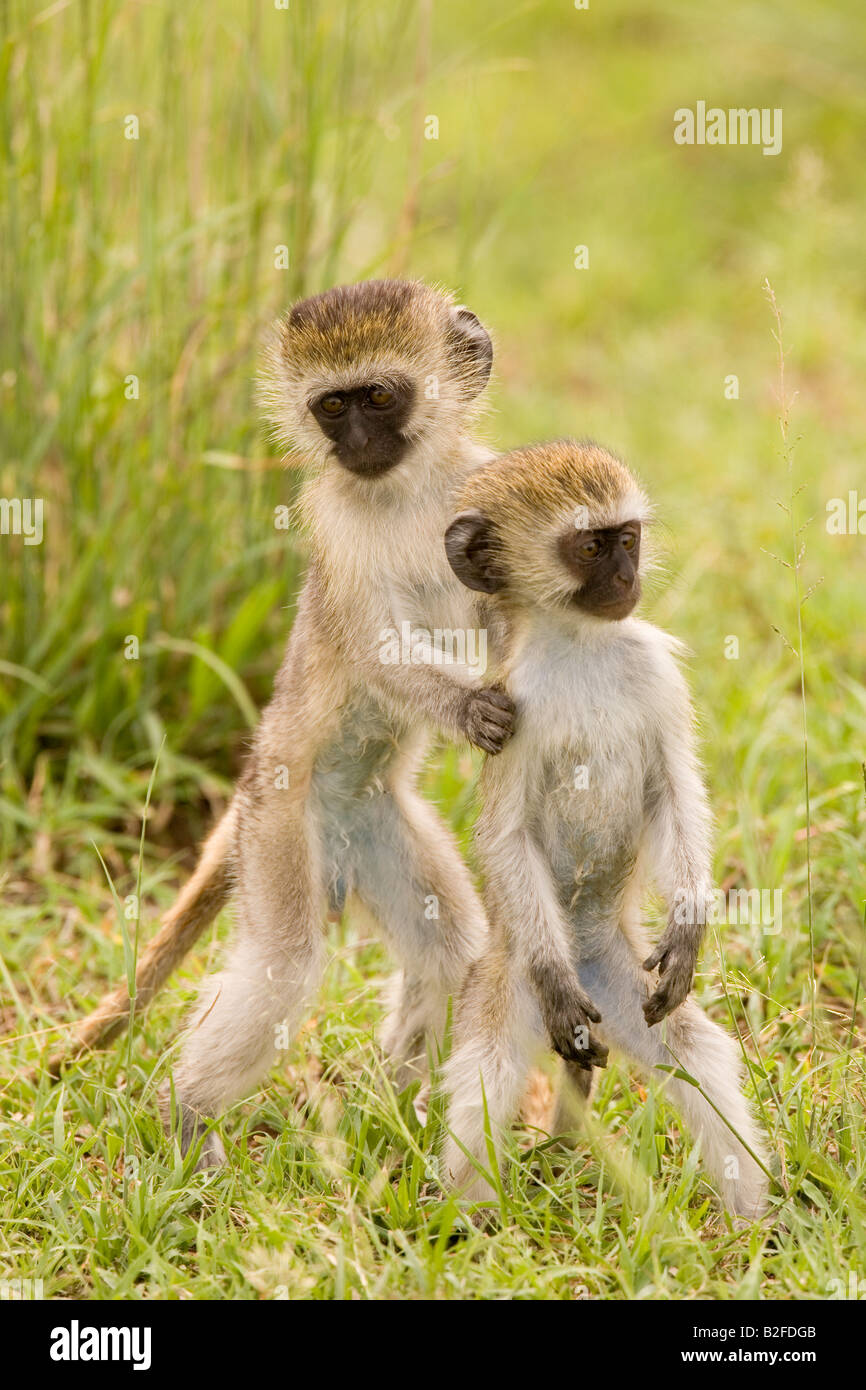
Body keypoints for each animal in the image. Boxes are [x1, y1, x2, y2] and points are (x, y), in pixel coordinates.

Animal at [46, 280, 515, 1164]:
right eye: (332, 406)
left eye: (378, 397)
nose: (355, 443)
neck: (405, 489)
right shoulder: (336, 527)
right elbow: (375, 647)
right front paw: (471, 708)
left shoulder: (481, 487)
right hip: (276, 830)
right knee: (285, 963)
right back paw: (187, 1118)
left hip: (376, 825)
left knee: (450, 947)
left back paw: (405, 1103)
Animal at [439, 439, 769, 1220]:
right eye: (590, 547)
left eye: (628, 539)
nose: (626, 579)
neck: (581, 644)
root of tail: (588, 955)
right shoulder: (510, 706)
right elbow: (506, 837)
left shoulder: (658, 675)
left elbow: (678, 789)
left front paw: (688, 926)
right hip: (514, 976)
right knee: (486, 1074)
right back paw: (466, 1222)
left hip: (625, 987)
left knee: (694, 1054)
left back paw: (753, 1221)